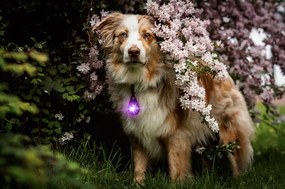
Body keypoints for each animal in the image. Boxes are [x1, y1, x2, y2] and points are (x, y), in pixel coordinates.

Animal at [94, 12, 254, 183]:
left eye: (147, 35)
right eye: (123, 35)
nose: (134, 52)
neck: (139, 82)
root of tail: (219, 68)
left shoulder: (176, 133)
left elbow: (175, 166)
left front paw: (176, 183)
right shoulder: (138, 131)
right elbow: (139, 164)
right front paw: (138, 183)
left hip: (228, 130)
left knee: (235, 158)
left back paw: (237, 180)